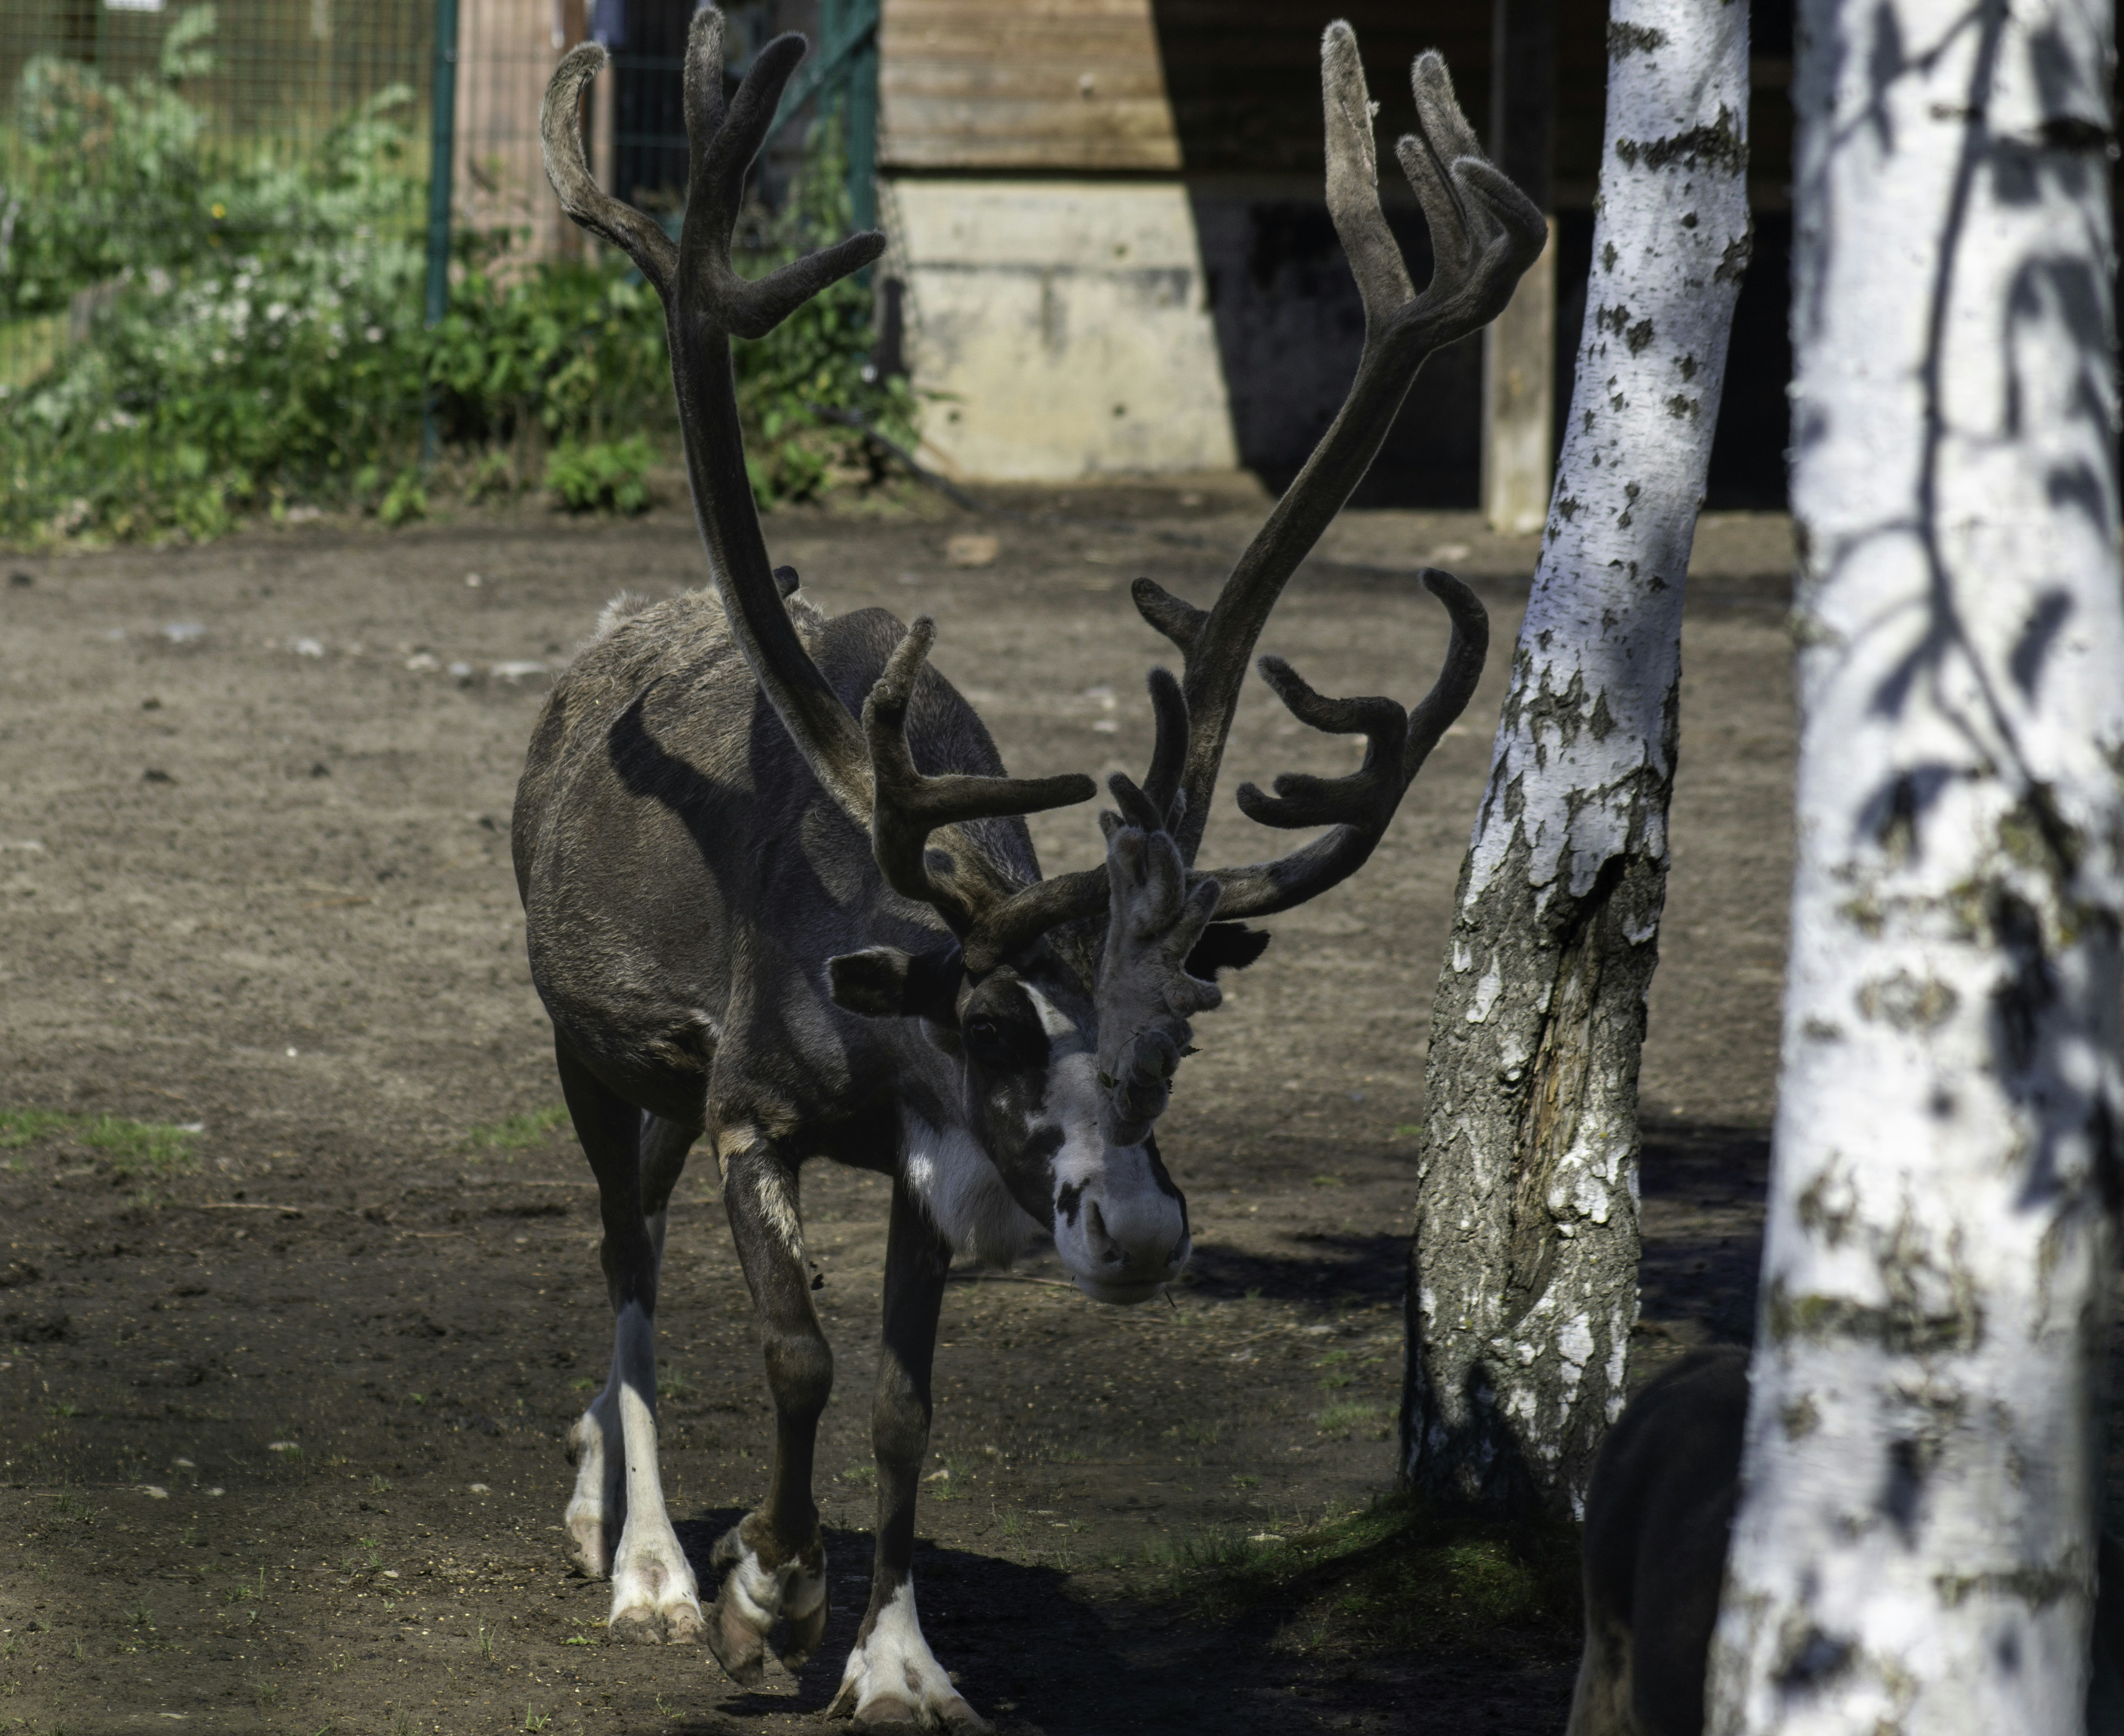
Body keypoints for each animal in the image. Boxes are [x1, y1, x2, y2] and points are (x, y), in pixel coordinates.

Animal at [516, 11, 1542, 1729]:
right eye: (994, 1024)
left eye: (1180, 1032)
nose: (1139, 1229)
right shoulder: (749, 1104)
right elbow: (797, 1353)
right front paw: (765, 1589)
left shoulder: (929, 1167)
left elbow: (903, 1407)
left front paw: (900, 1659)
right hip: (592, 1052)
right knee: (623, 1253)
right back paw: (644, 1551)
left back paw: (612, 1496)